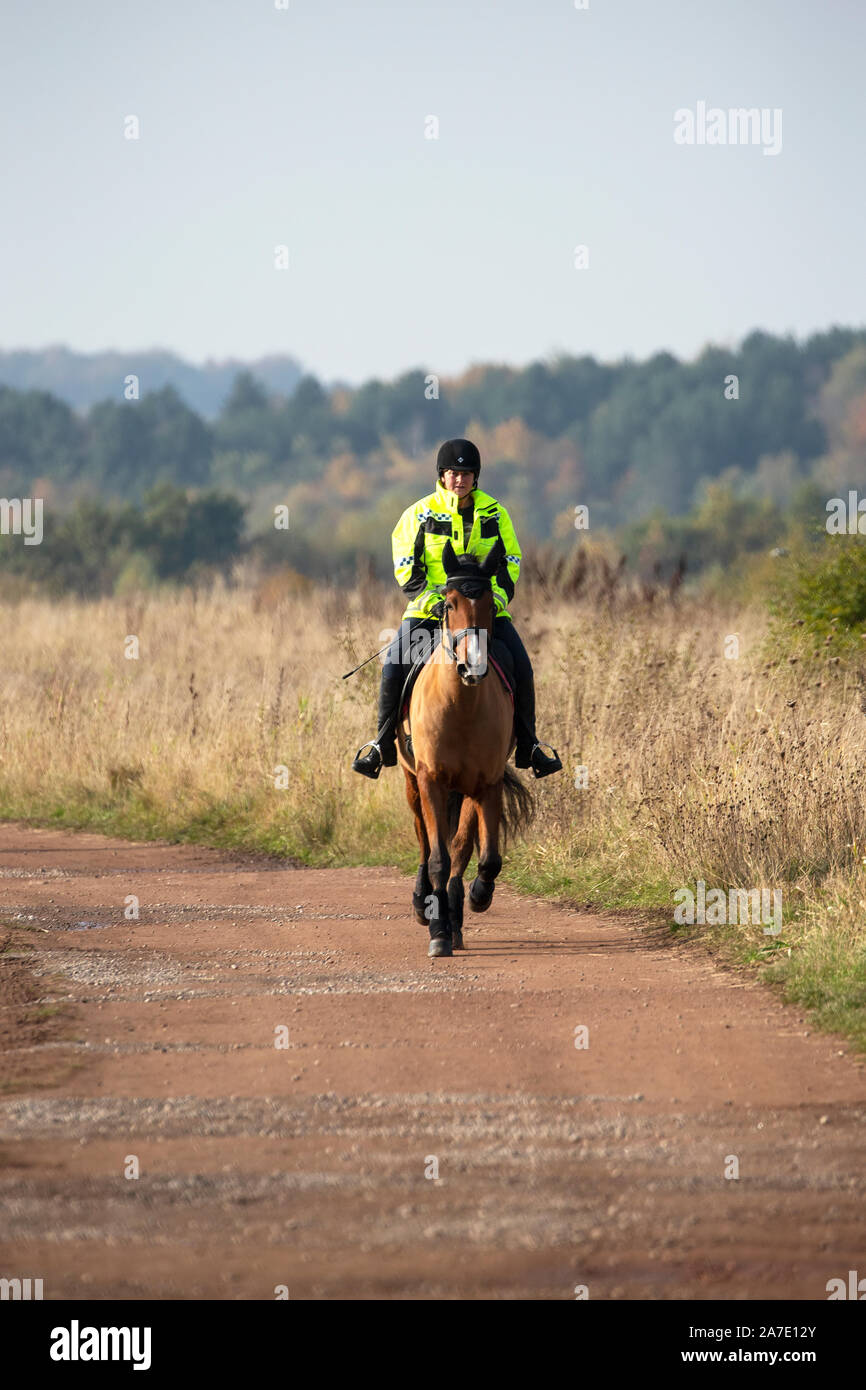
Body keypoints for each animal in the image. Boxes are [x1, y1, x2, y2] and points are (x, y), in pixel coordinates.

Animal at [400, 533, 536, 956]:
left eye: (490, 604)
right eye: (449, 603)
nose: (471, 666)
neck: (461, 706)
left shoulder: (486, 784)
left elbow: (482, 857)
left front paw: (476, 898)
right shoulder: (430, 779)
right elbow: (438, 858)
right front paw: (437, 932)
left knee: (459, 846)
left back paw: (456, 917)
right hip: (413, 783)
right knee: (424, 842)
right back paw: (423, 904)